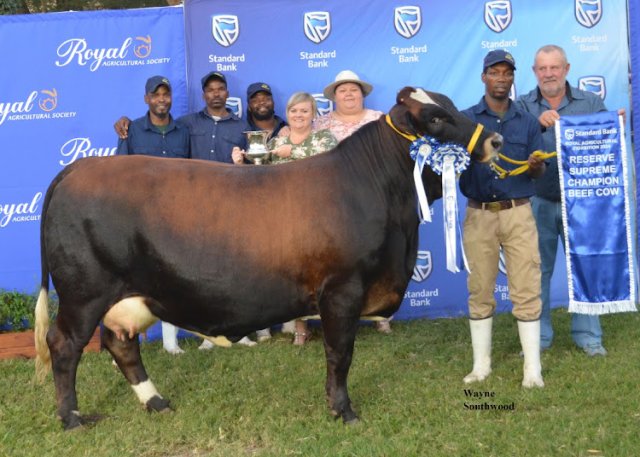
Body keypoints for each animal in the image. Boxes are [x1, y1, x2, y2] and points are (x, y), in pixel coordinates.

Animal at [34, 87, 502, 430]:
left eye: (452, 105)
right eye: (436, 118)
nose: (494, 140)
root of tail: (77, 169)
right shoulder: (342, 289)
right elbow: (340, 353)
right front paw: (343, 411)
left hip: (126, 295)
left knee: (120, 342)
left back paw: (156, 402)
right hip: (83, 292)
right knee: (64, 345)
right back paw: (71, 418)